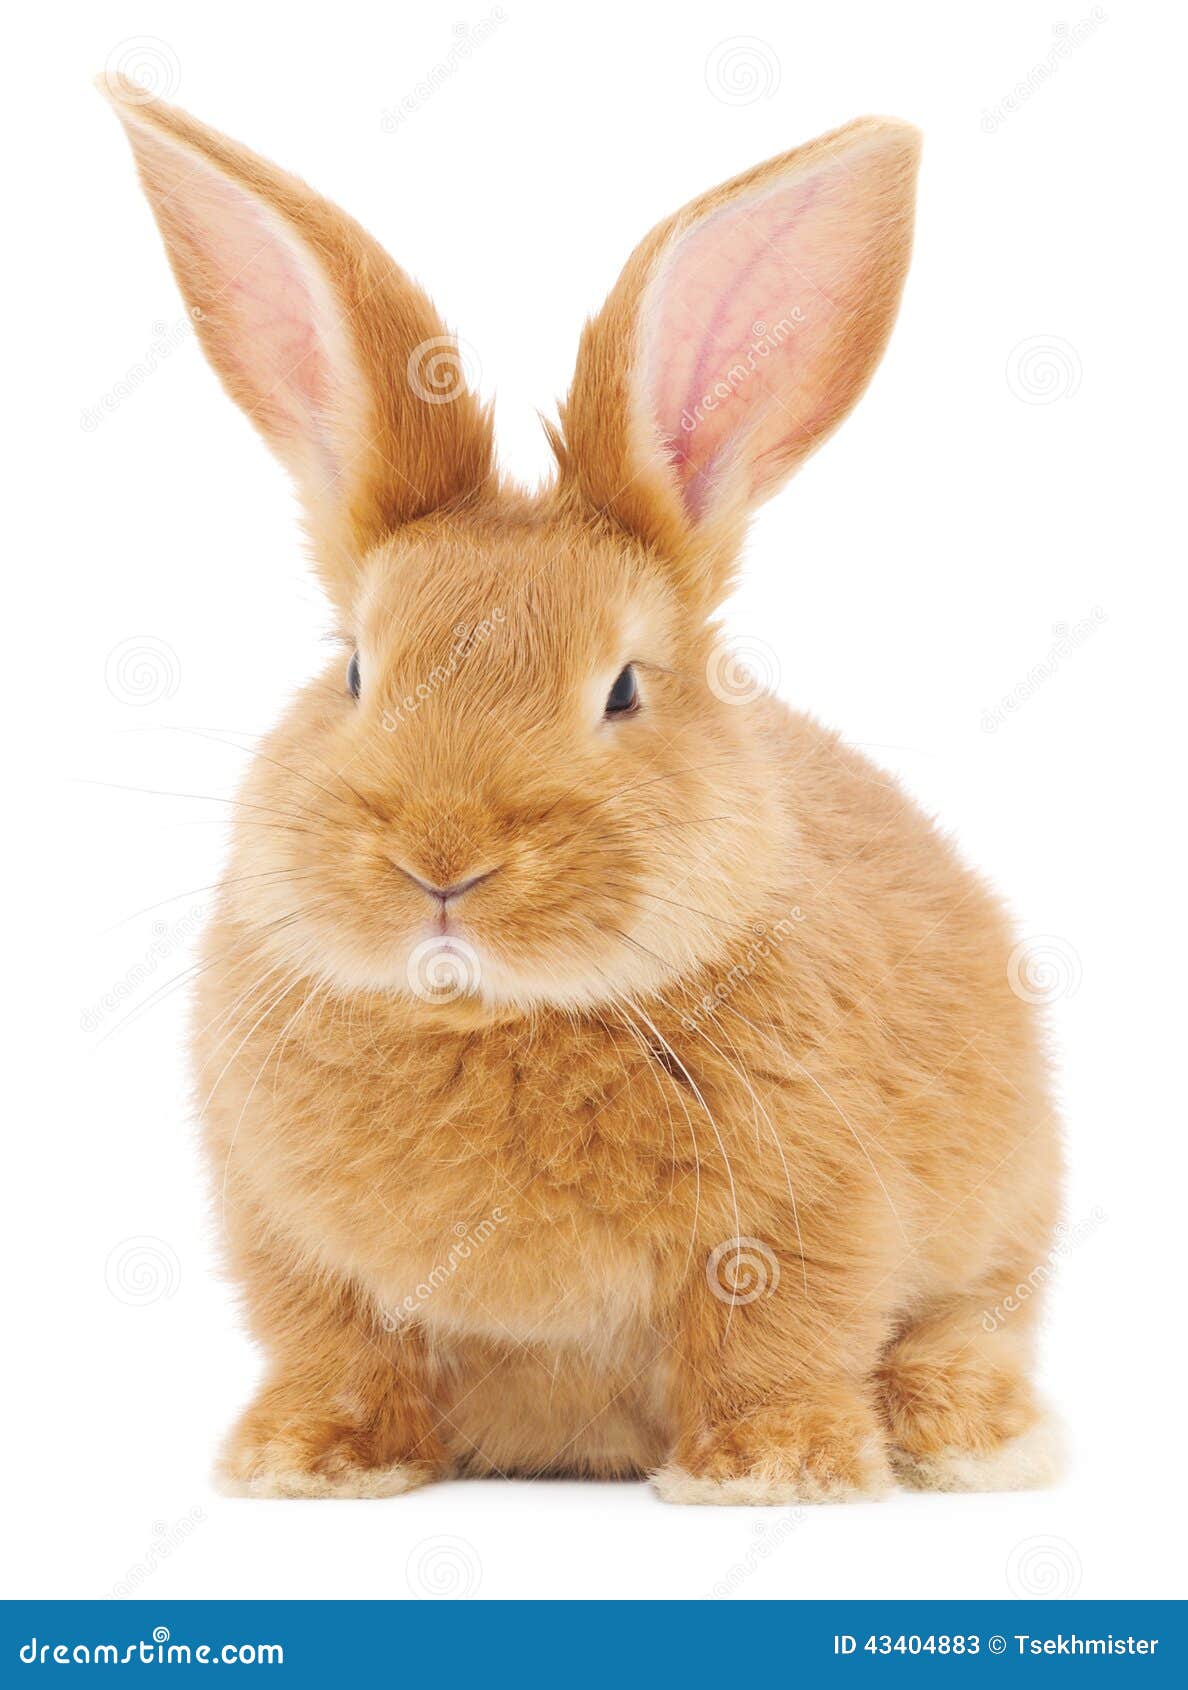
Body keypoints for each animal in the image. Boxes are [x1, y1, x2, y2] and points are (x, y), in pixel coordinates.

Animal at [103, 76, 1062, 1503]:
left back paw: (968, 1432)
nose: (442, 858)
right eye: (353, 669)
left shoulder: (807, 1222)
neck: (491, 1015)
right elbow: (338, 1347)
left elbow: (777, 1338)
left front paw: (767, 1472)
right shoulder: (293, 1247)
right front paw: (307, 1461)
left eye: (621, 689)